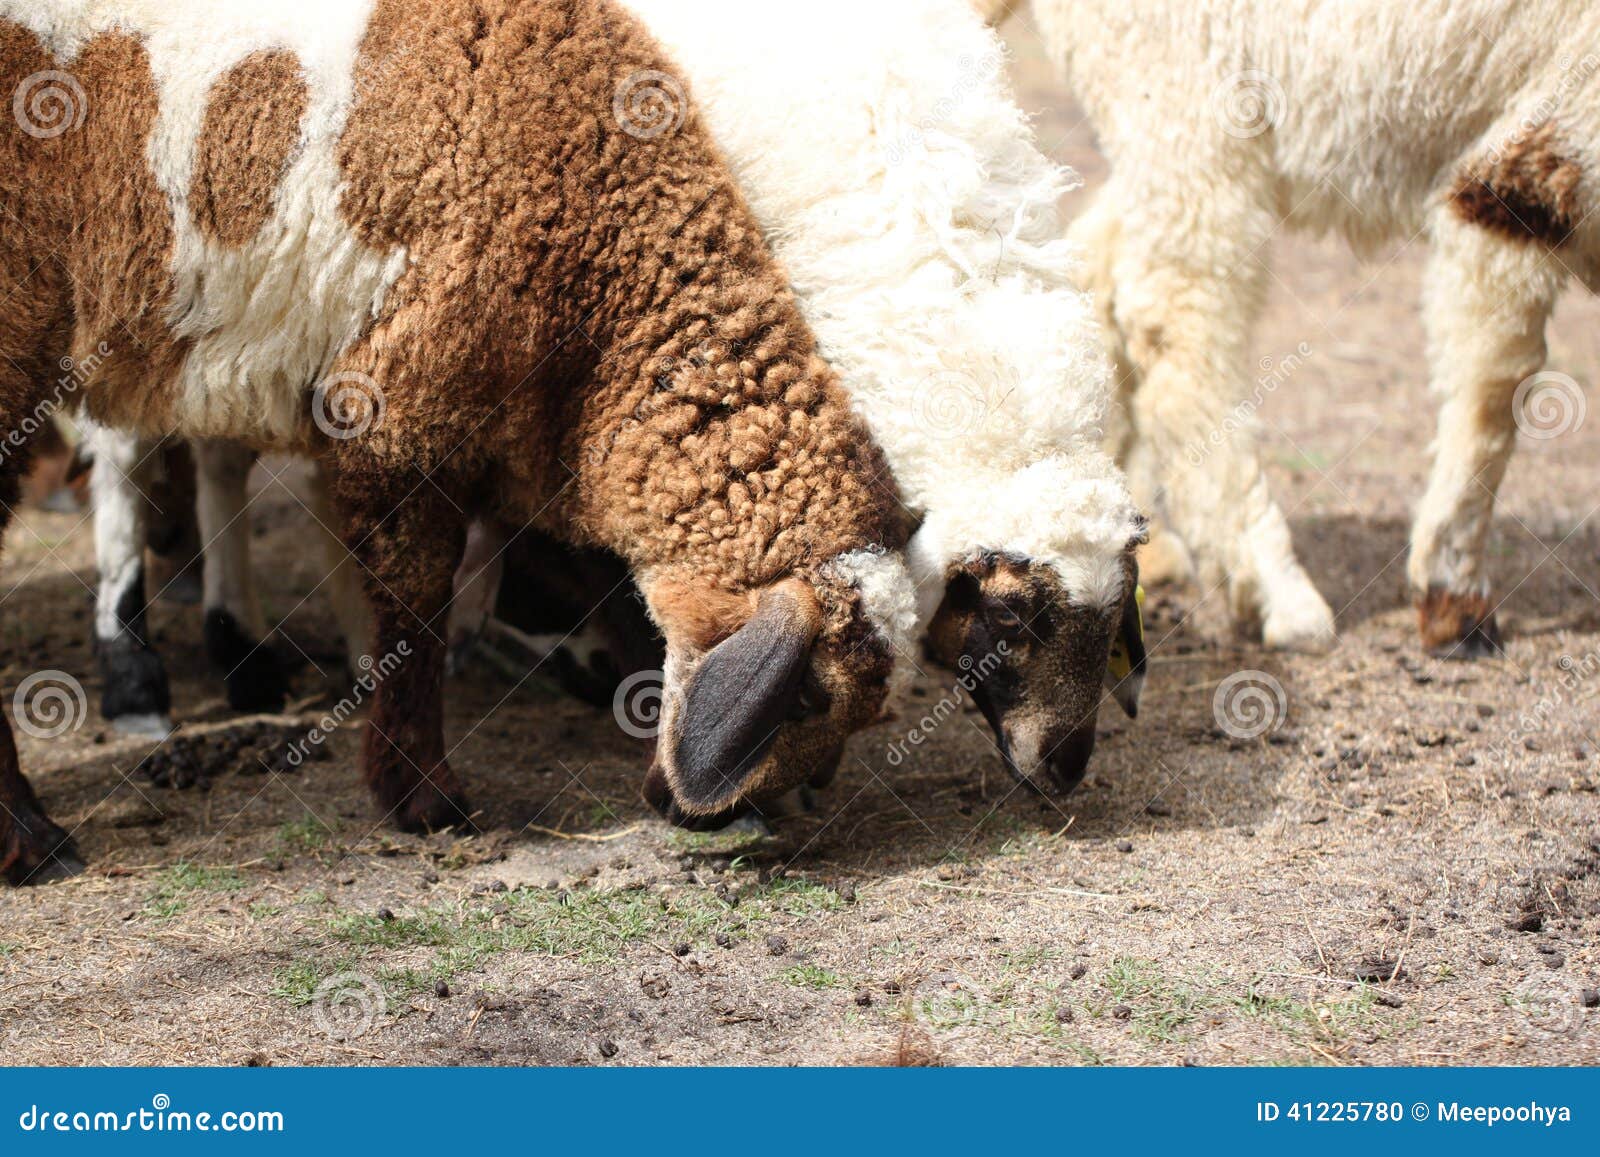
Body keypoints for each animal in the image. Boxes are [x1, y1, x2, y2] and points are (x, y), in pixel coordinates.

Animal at [0, 0, 918, 884]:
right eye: (807, 697)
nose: (715, 813)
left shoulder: (542, 428)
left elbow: (596, 576)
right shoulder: (398, 414)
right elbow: (415, 610)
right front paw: (422, 796)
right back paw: (39, 831)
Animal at [1004, 0, 1600, 656]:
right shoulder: (1542, 148)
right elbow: (1494, 384)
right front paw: (1455, 604)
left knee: (1096, 271)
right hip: (1184, 82)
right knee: (1180, 316)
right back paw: (1274, 591)